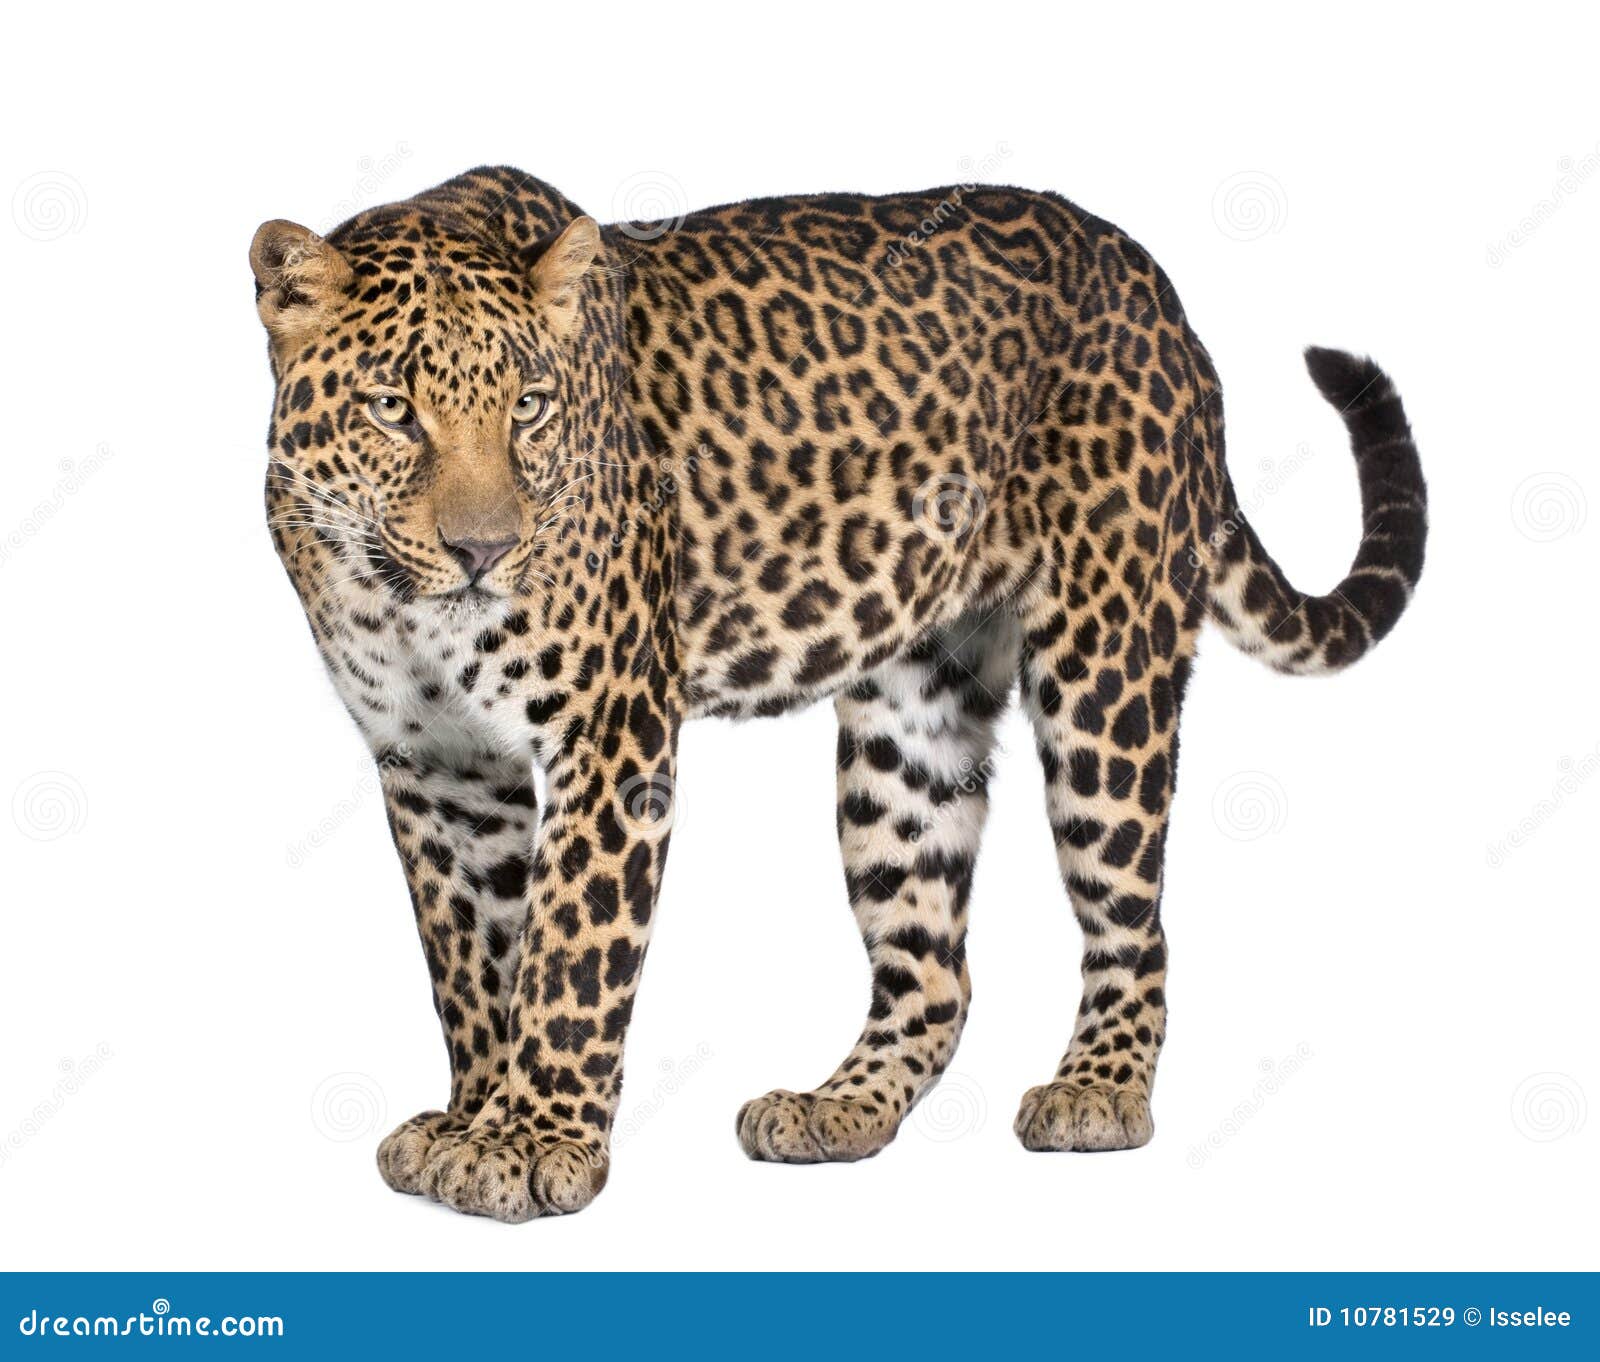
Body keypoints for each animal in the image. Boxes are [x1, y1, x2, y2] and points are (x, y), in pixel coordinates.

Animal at [251, 165, 1426, 1222]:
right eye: (393, 410)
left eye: (530, 409)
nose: (486, 552)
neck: (393, 594)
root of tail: (1155, 289)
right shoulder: (432, 762)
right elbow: (473, 961)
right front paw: (475, 1116)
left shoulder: (612, 734)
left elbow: (568, 955)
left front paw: (534, 1145)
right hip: (912, 718)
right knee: (935, 973)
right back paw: (836, 1109)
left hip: (1105, 674)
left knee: (1135, 923)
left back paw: (1097, 1089)